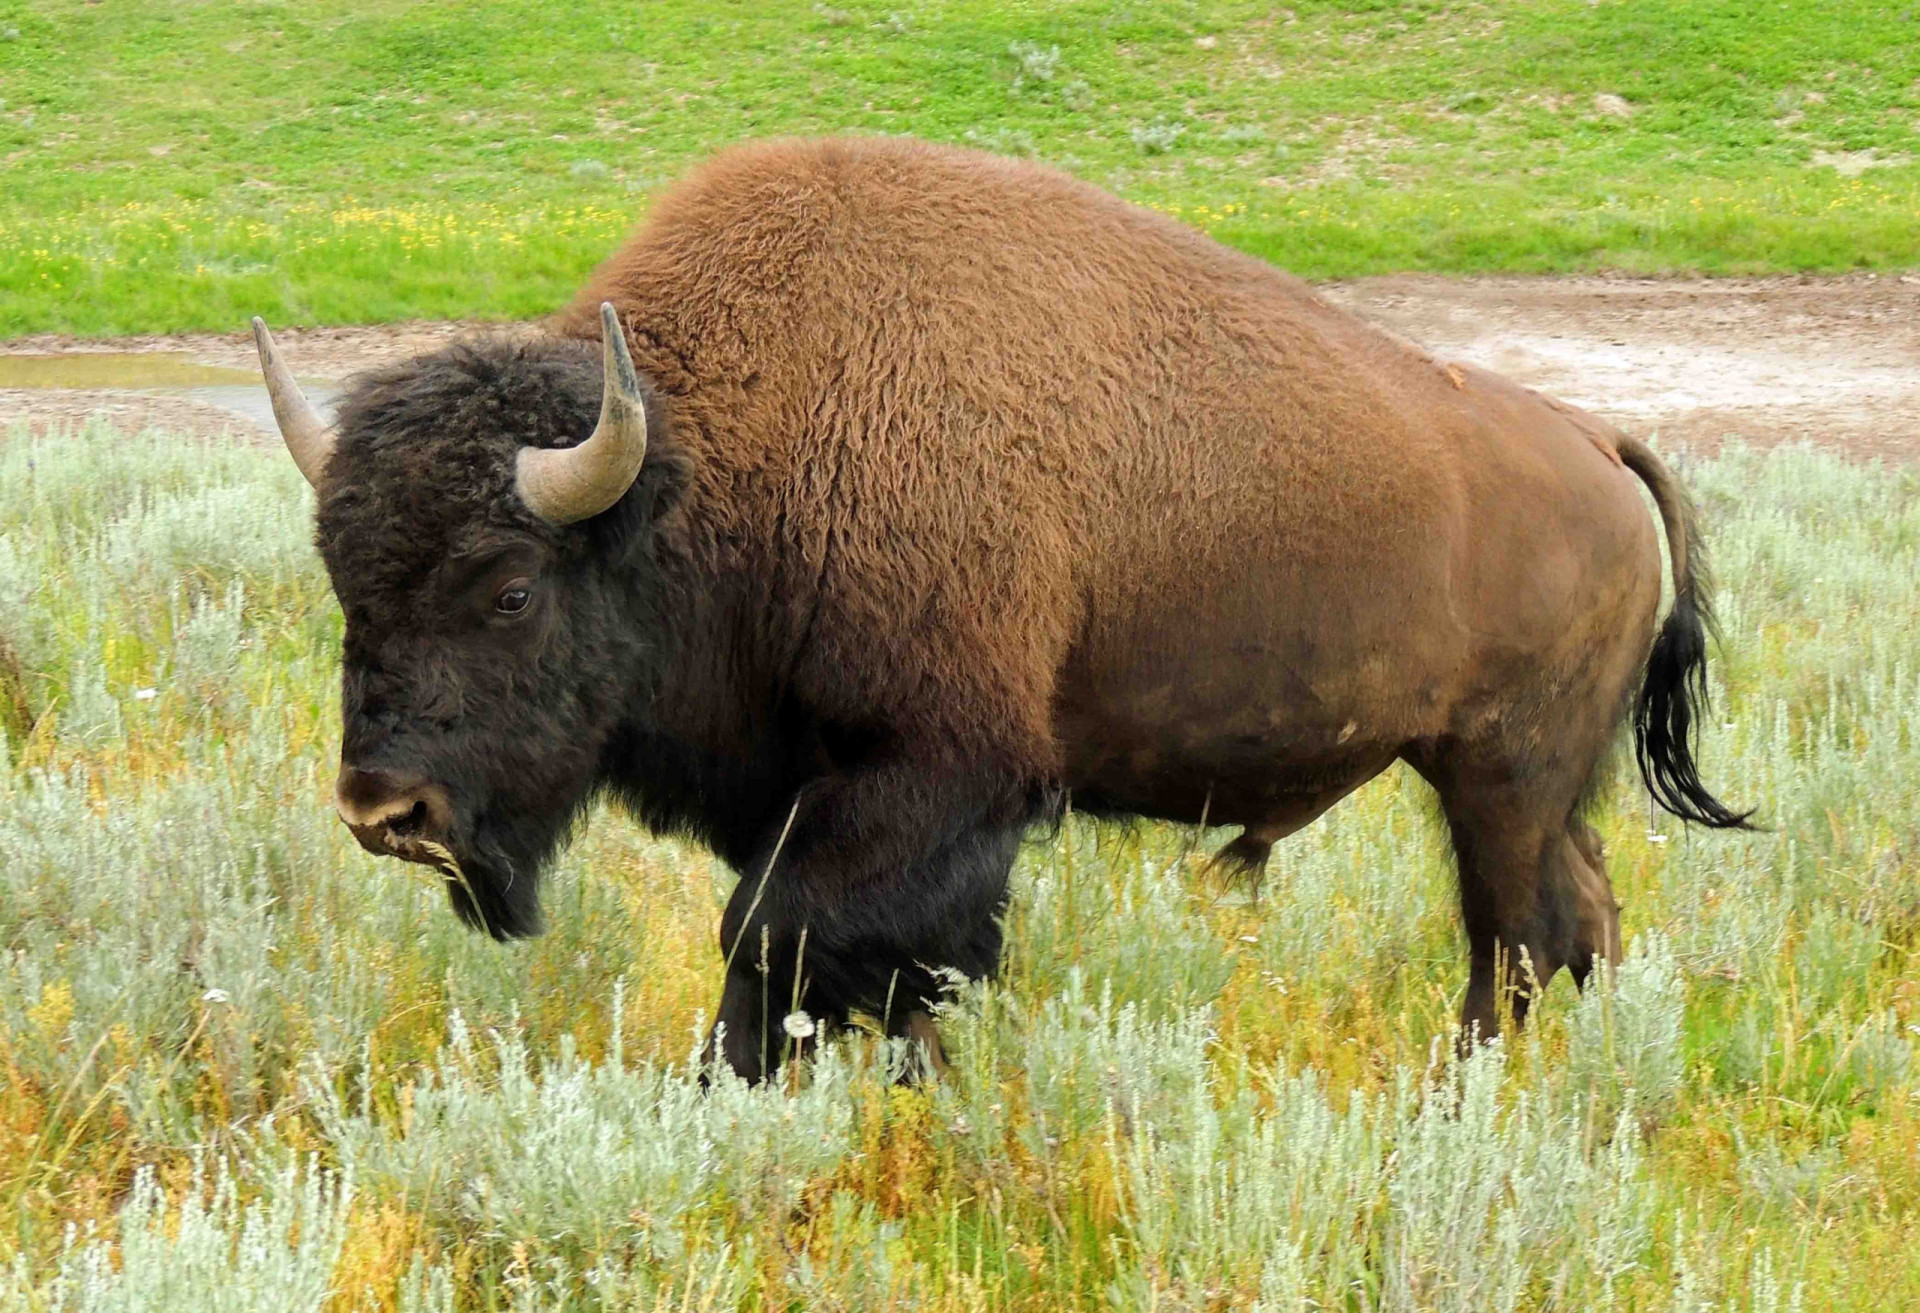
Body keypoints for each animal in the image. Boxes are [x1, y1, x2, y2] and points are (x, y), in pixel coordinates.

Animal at [253, 136, 1749, 1081]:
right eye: (344, 583)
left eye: (509, 587)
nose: (384, 809)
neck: (713, 457)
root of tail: (1595, 442)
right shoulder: (805, 793)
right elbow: (859, 973)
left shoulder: (935, 778)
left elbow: (783, 942)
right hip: (1527, 783)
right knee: (1577, 922)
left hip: (1500, 776)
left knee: (1515, 942)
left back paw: (1459, 1102)